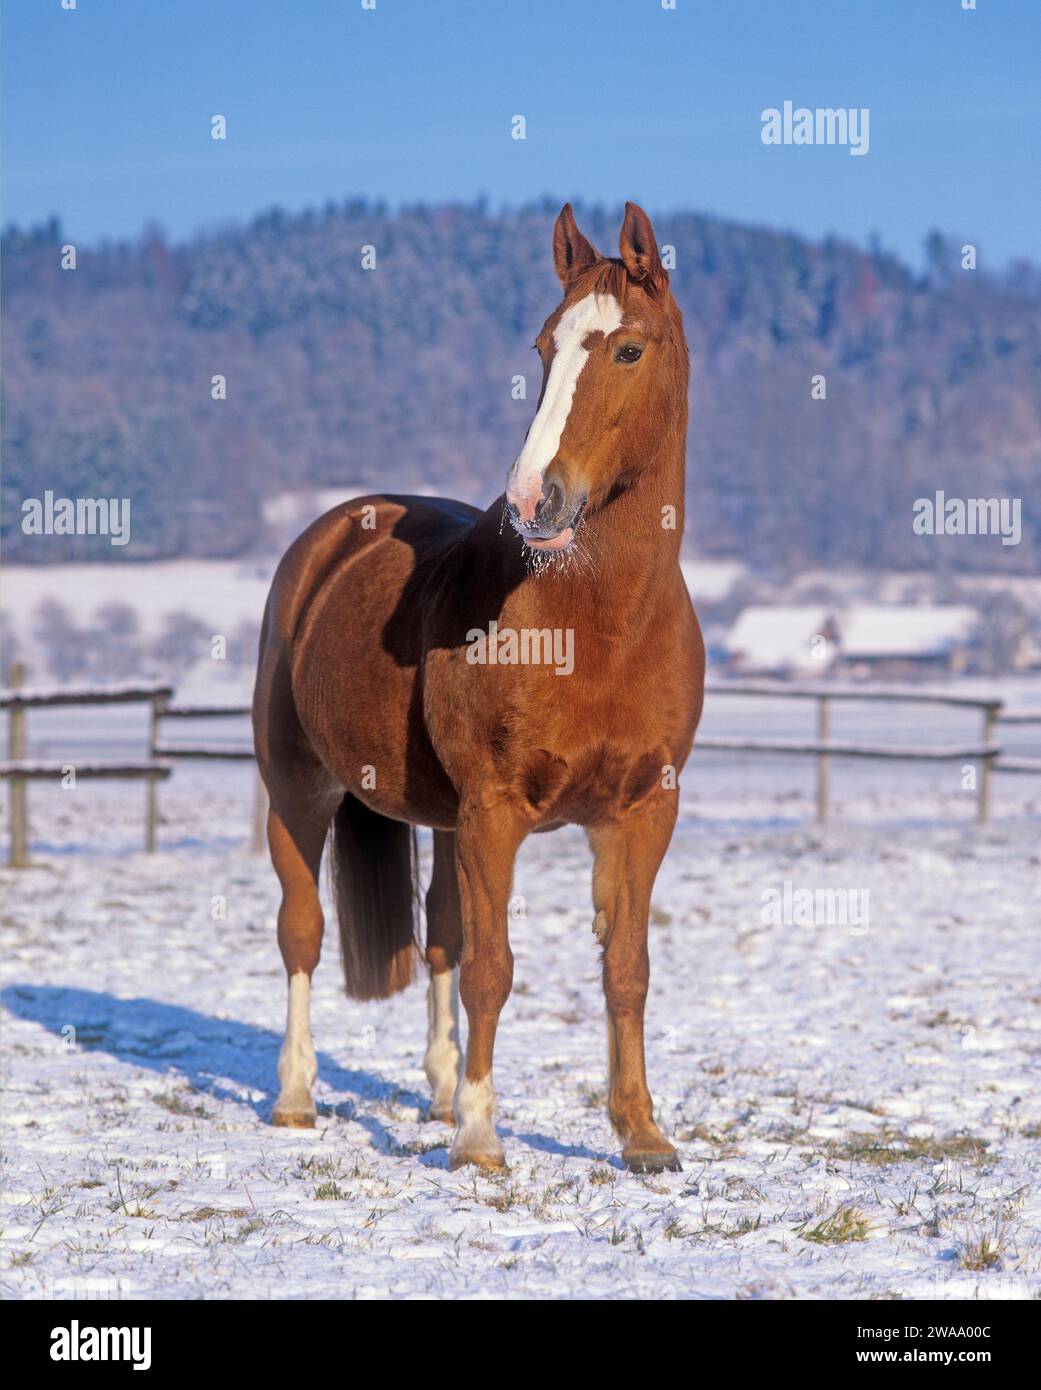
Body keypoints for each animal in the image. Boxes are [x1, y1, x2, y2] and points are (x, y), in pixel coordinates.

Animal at [252, 201, 705, 1173]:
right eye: (542, 346)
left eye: (627, 350)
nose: (534, 499)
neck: (594, 624)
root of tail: (330, 536)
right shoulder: (496, 811)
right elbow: (494, 970)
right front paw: (479, 1138)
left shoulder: (642, 811)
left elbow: (625, 970)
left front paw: (642, 1134)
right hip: (298, 793)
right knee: (302, 931)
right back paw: (298, 1096)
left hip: (445, 821)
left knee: (438, 937)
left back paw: (435, 1088)